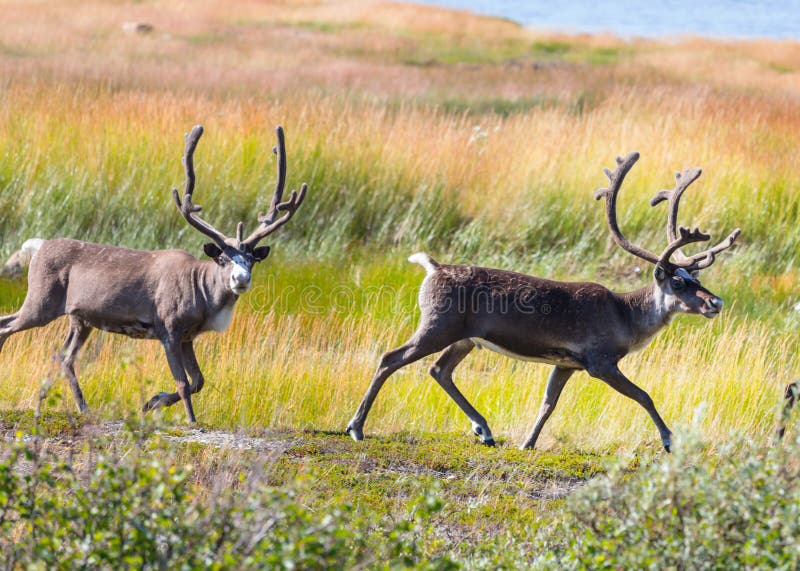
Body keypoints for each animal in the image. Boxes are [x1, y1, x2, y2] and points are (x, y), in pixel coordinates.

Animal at [0, 125, 307, 424]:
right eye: (221, 258)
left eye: (252, 260)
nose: (240, 279)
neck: (201, 293)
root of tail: (37, 246)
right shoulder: (168, 327)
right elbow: (184, 382)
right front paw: (190, 420)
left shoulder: (187, 336)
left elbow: (199, 380)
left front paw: (153, 401)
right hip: (42, 301)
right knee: (8, 325)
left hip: (80, 319)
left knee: (63, 356)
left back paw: (81, 407)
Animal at [346, 151, 740, 451]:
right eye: (678, 281)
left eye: (698, 278)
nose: (715, 303)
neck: (627, 317)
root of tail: (433, 267)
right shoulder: (599, 361)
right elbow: (644, 395)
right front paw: (670, 440)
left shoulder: (567, 363)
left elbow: (548, 403)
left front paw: (528, 442)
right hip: (438, 325)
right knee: (391, 358)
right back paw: (357, 427)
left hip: (465, 338)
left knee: (439, 370)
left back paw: (484, 431)